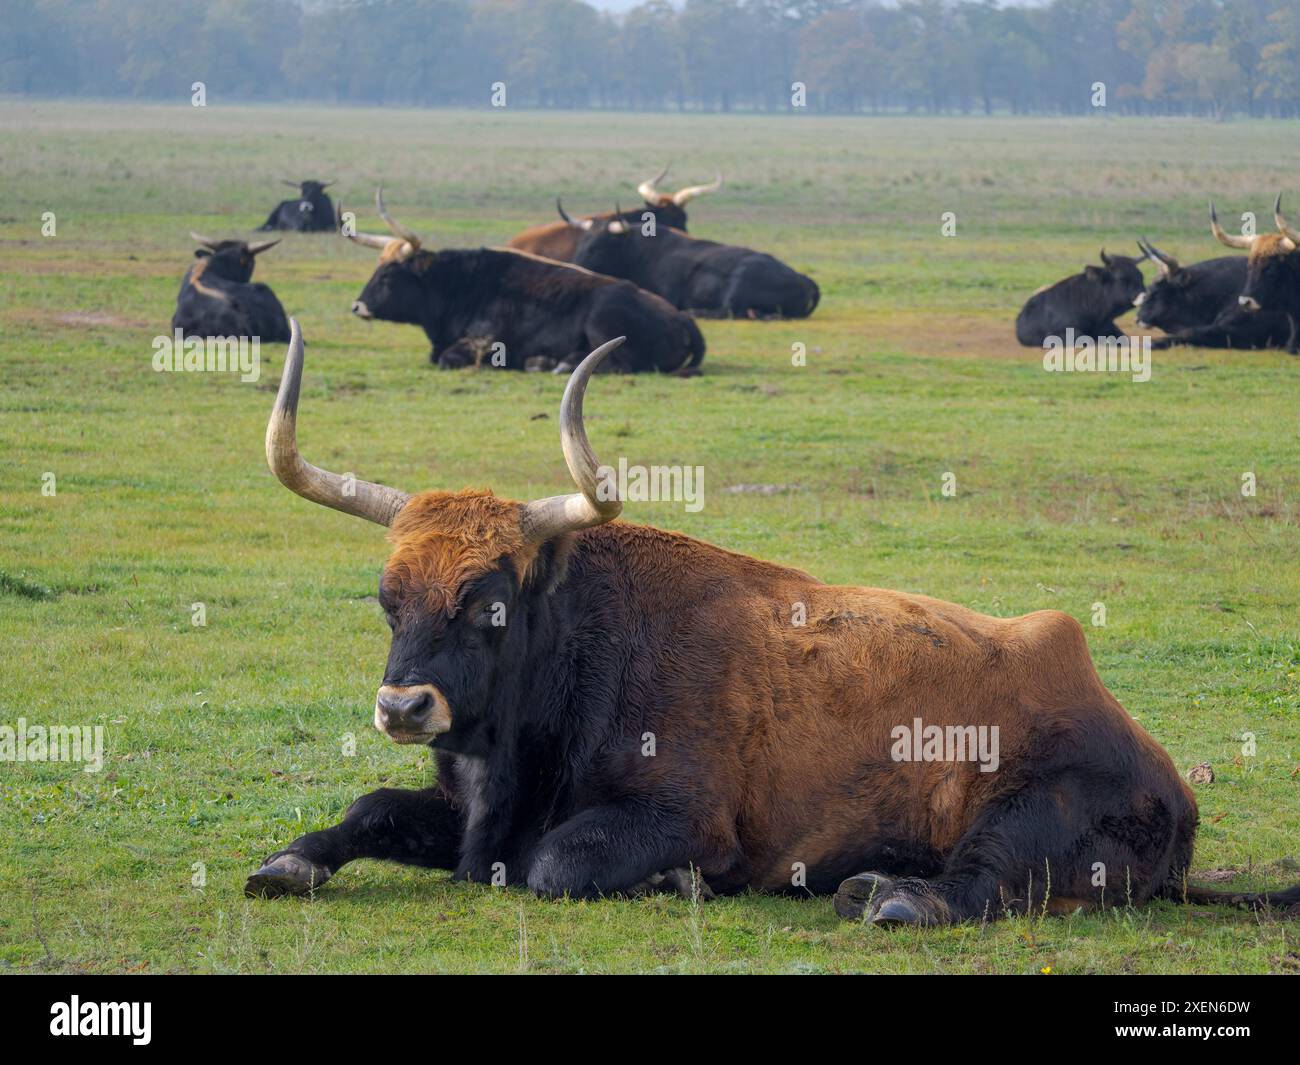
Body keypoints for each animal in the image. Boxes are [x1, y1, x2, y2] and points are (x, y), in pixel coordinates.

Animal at [245, 322, 1300, 926]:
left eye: (489, 600)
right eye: (389, 596)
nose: (403, 706)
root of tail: (1155, 763)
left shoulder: (672, 818)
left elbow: (554, 863)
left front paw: (677, 884)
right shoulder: (466, 814)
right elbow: (371, 807)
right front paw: (291, 859)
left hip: (1027, 814)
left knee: (973, 889)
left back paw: (889, 896)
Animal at [343, 189, 704, 374]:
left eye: (388, 274)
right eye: (378, 266)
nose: (358, 306)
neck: (461, 286)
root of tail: (680, 317)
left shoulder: (486, 344)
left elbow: (447, 358)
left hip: (602, 317)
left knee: (619, 364)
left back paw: (557, 363)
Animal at [565, 210, 820, 319]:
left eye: (597, 245)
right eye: (582, 241)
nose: (576, 266)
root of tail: (803, 279)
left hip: (741, 278)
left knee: (728, 311)